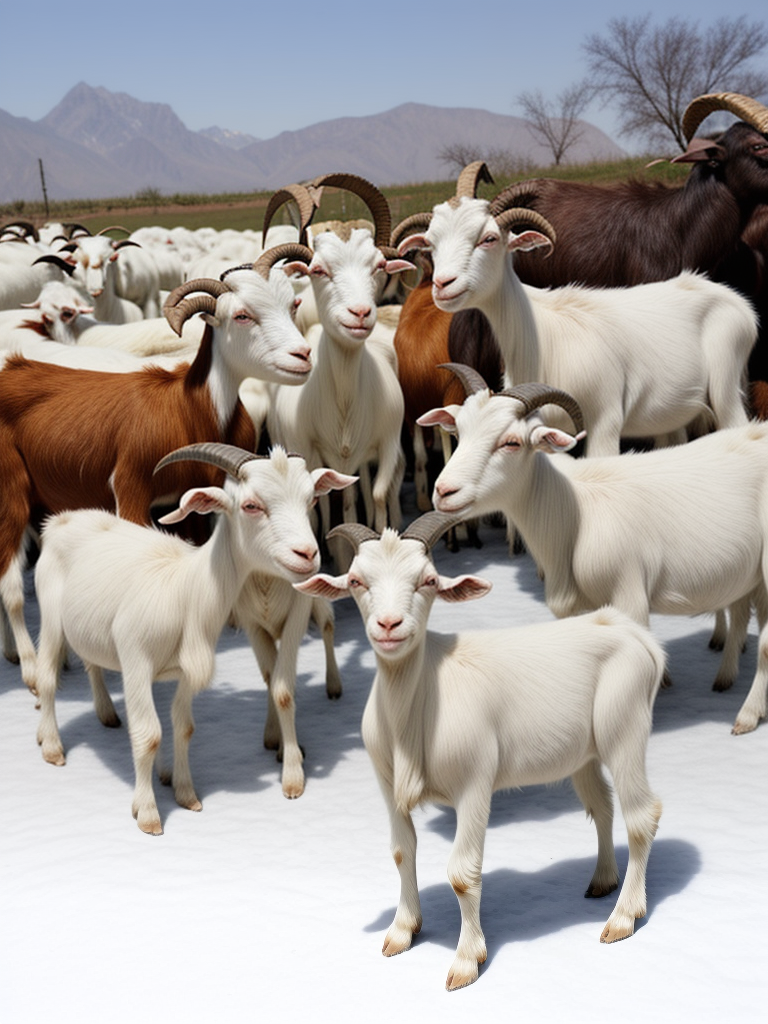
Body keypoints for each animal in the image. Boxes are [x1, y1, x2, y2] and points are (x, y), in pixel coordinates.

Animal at [34, 443, 352, 834]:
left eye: (311, 499)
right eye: (251, 505)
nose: (307, 554)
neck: (186, 590)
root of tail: (60, 521)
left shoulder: (186, 671)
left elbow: (183, 727)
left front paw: (186, 794)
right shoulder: (136, 660)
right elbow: (148, 734)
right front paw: (148, 815)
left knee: (92, 660)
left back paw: (106, 716)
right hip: (51, 614)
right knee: (47, 676)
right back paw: (51, 747)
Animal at [297, 513, 664, 990]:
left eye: (429, 581)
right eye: (357, 581)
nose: (389, 626)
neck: (420, 698)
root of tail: (633, 633)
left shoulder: (474, 781)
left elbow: (462, 872)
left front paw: (466, 961)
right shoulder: (387, 782)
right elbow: (402, 851)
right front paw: (401, 931)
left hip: (626, 728)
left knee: (642, 815)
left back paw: (623, 917)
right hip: (583, 751)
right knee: (601, 805)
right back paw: (602, 880)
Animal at [420, 366, 768, 734]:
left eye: (512, 442)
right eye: (459, 433)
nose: (444, 491)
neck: (573, 511)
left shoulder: (629, 593)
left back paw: (746, 715)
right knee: (741, 610)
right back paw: (725, 679)